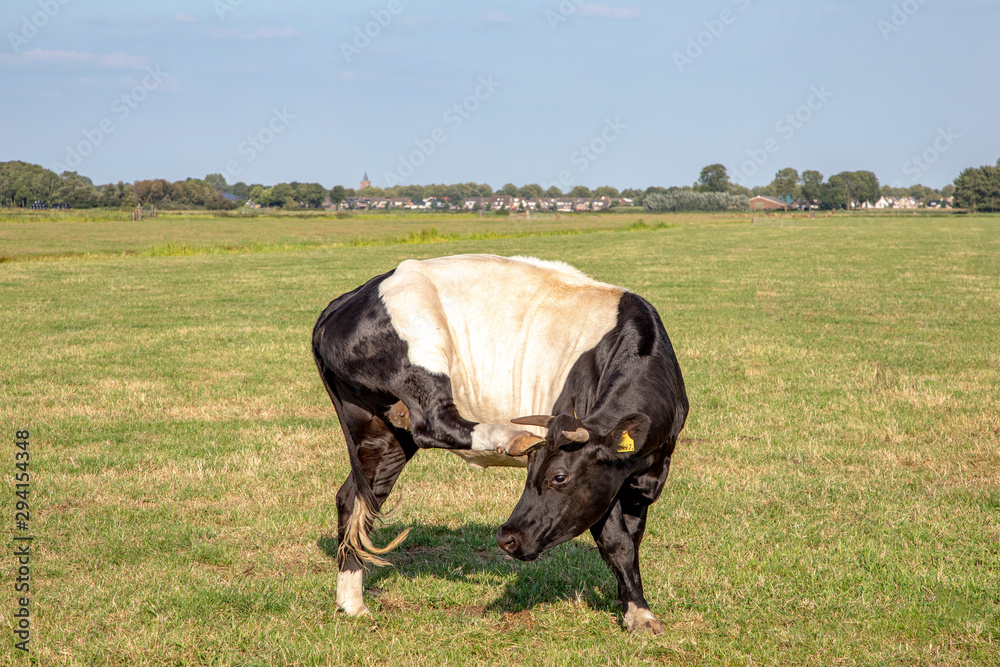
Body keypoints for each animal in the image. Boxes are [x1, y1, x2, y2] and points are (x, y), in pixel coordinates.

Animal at [312, 254, 688, 634]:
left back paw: (352, 603)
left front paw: (630, 606)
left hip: (379, 433)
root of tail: (346, 300)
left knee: (355, 499)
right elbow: (617, 543)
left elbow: (632, 541)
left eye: (559, 477)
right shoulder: (604, 484)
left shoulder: (643, 482)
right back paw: (511, 437)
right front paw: (642, 616)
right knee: (433, 423)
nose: (507, 537)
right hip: (419, 343)